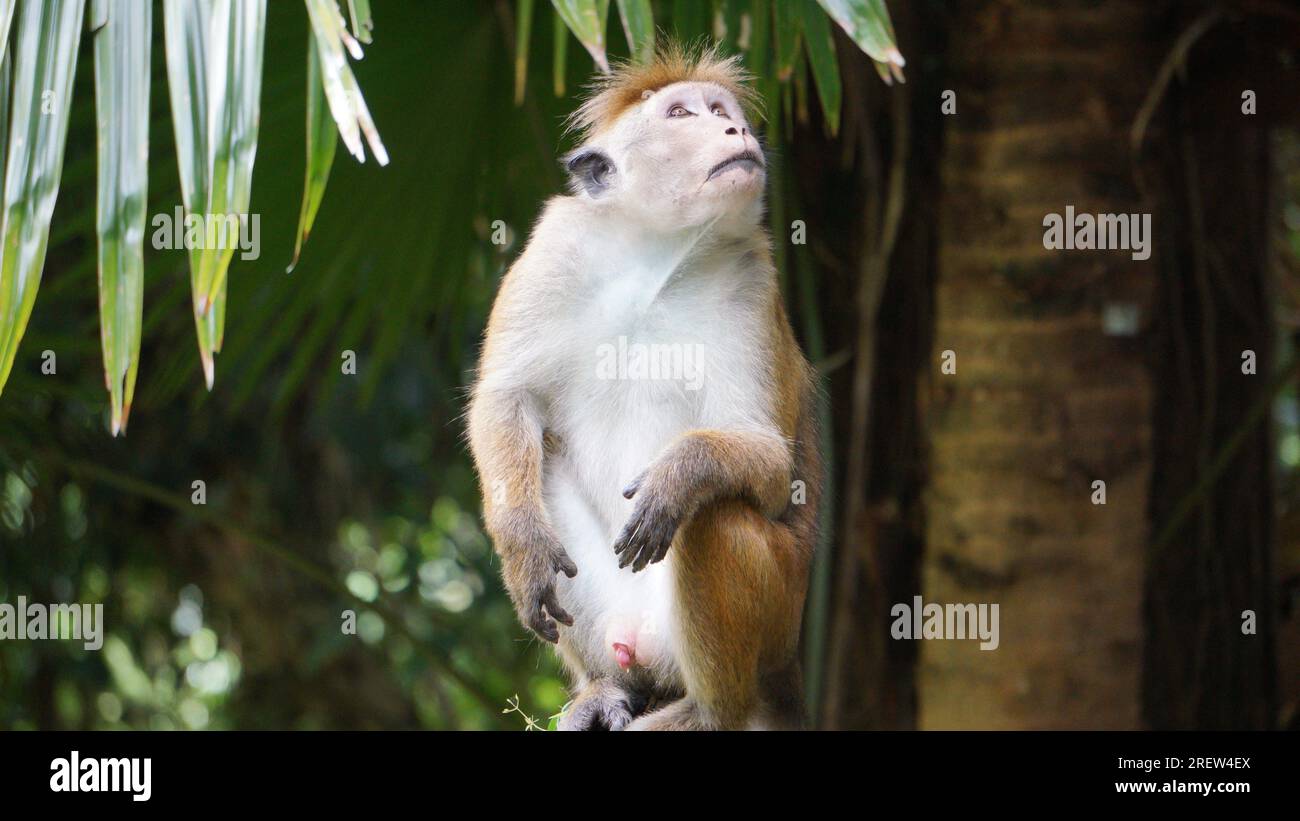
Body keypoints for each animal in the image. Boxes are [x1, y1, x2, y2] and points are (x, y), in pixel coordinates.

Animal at [467, 44, 822, 730]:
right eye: (682, 114)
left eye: (723, 112)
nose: (735, 132)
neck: (655, 257)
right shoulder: (555, 247)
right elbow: (506, 397)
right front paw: (524, 547)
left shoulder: (753, 279)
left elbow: (767, 464)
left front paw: (677, 476)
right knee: (544, 459)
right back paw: (603, 689)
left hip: (777, 612)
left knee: (714, 518)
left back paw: (707, 712)